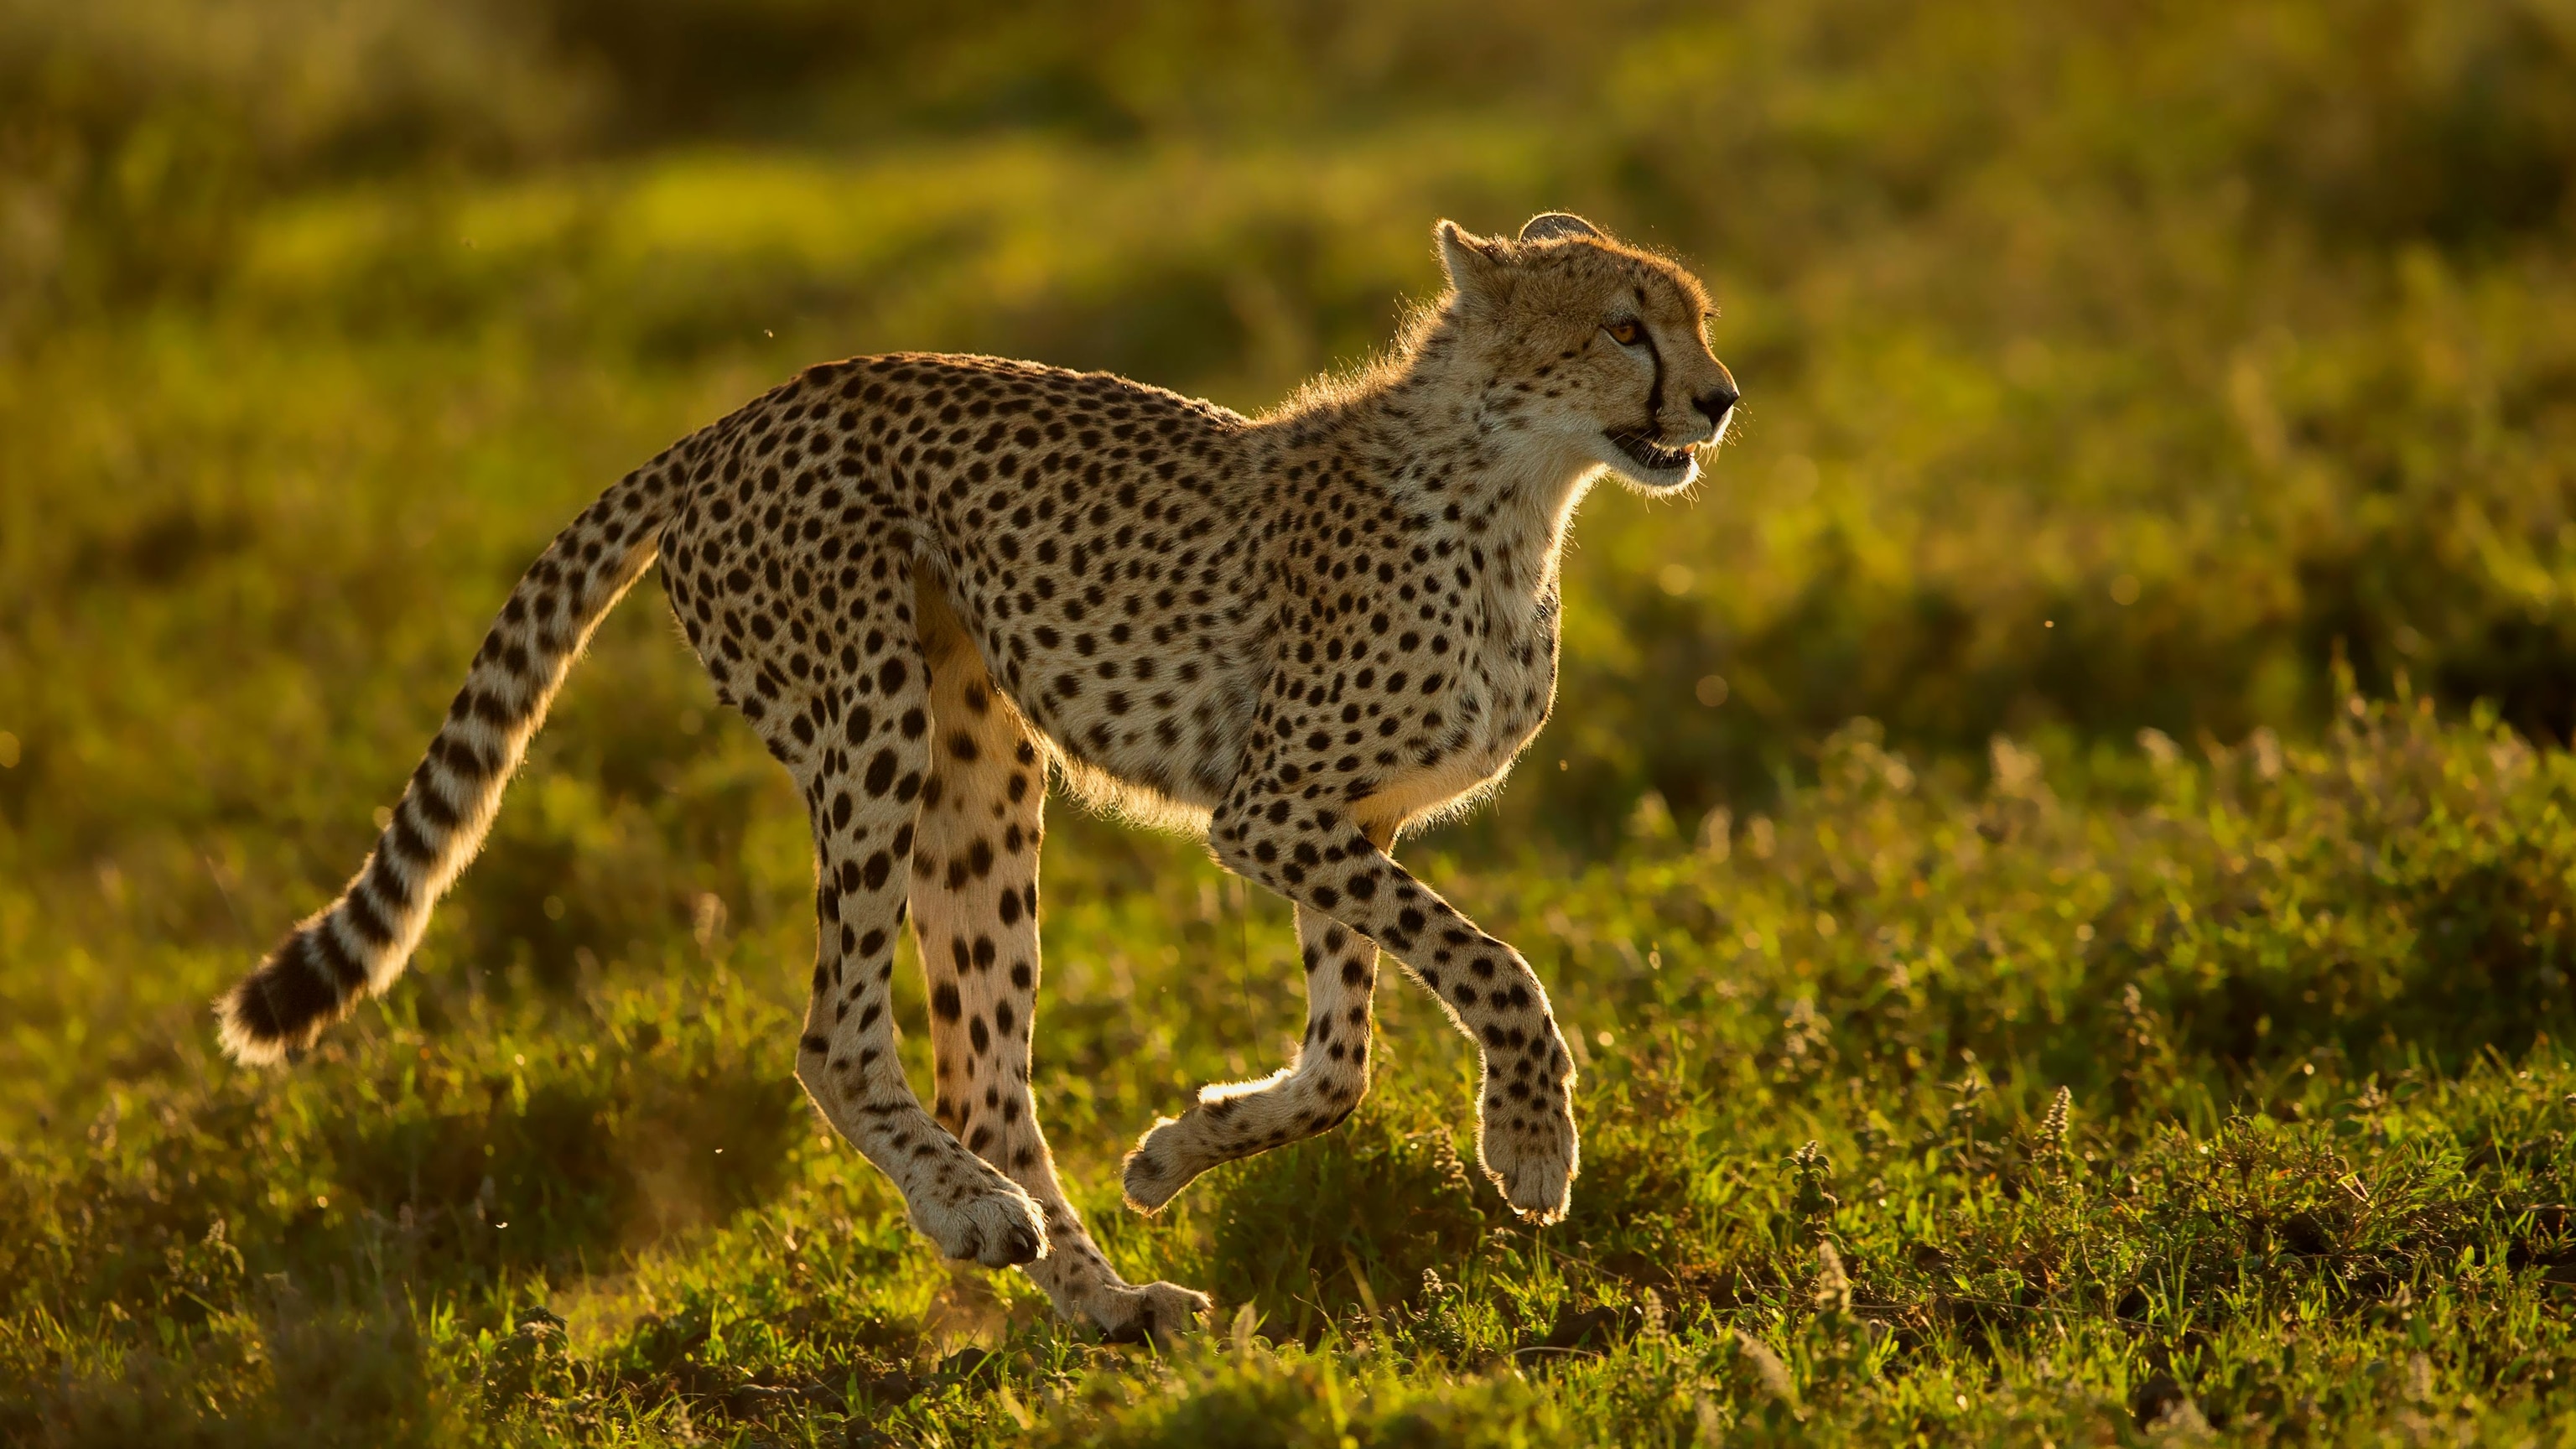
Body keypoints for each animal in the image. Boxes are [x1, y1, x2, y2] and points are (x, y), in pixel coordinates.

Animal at [216, 211, 1739, 1341]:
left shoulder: (1340, 817)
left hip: (980, 763)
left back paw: (1101, 1297)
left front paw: (1178, 1147)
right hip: (875, 717)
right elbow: (1495, 969)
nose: (1721, 401)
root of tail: (737, 419)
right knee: (836, 1034)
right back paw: (970, 1214)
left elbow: (1344, 1062)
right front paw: (1531, 1144)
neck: (1515, 486)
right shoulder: (1271, 808)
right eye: (1624, 327)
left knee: (986, 1076)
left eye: (1693, 321)